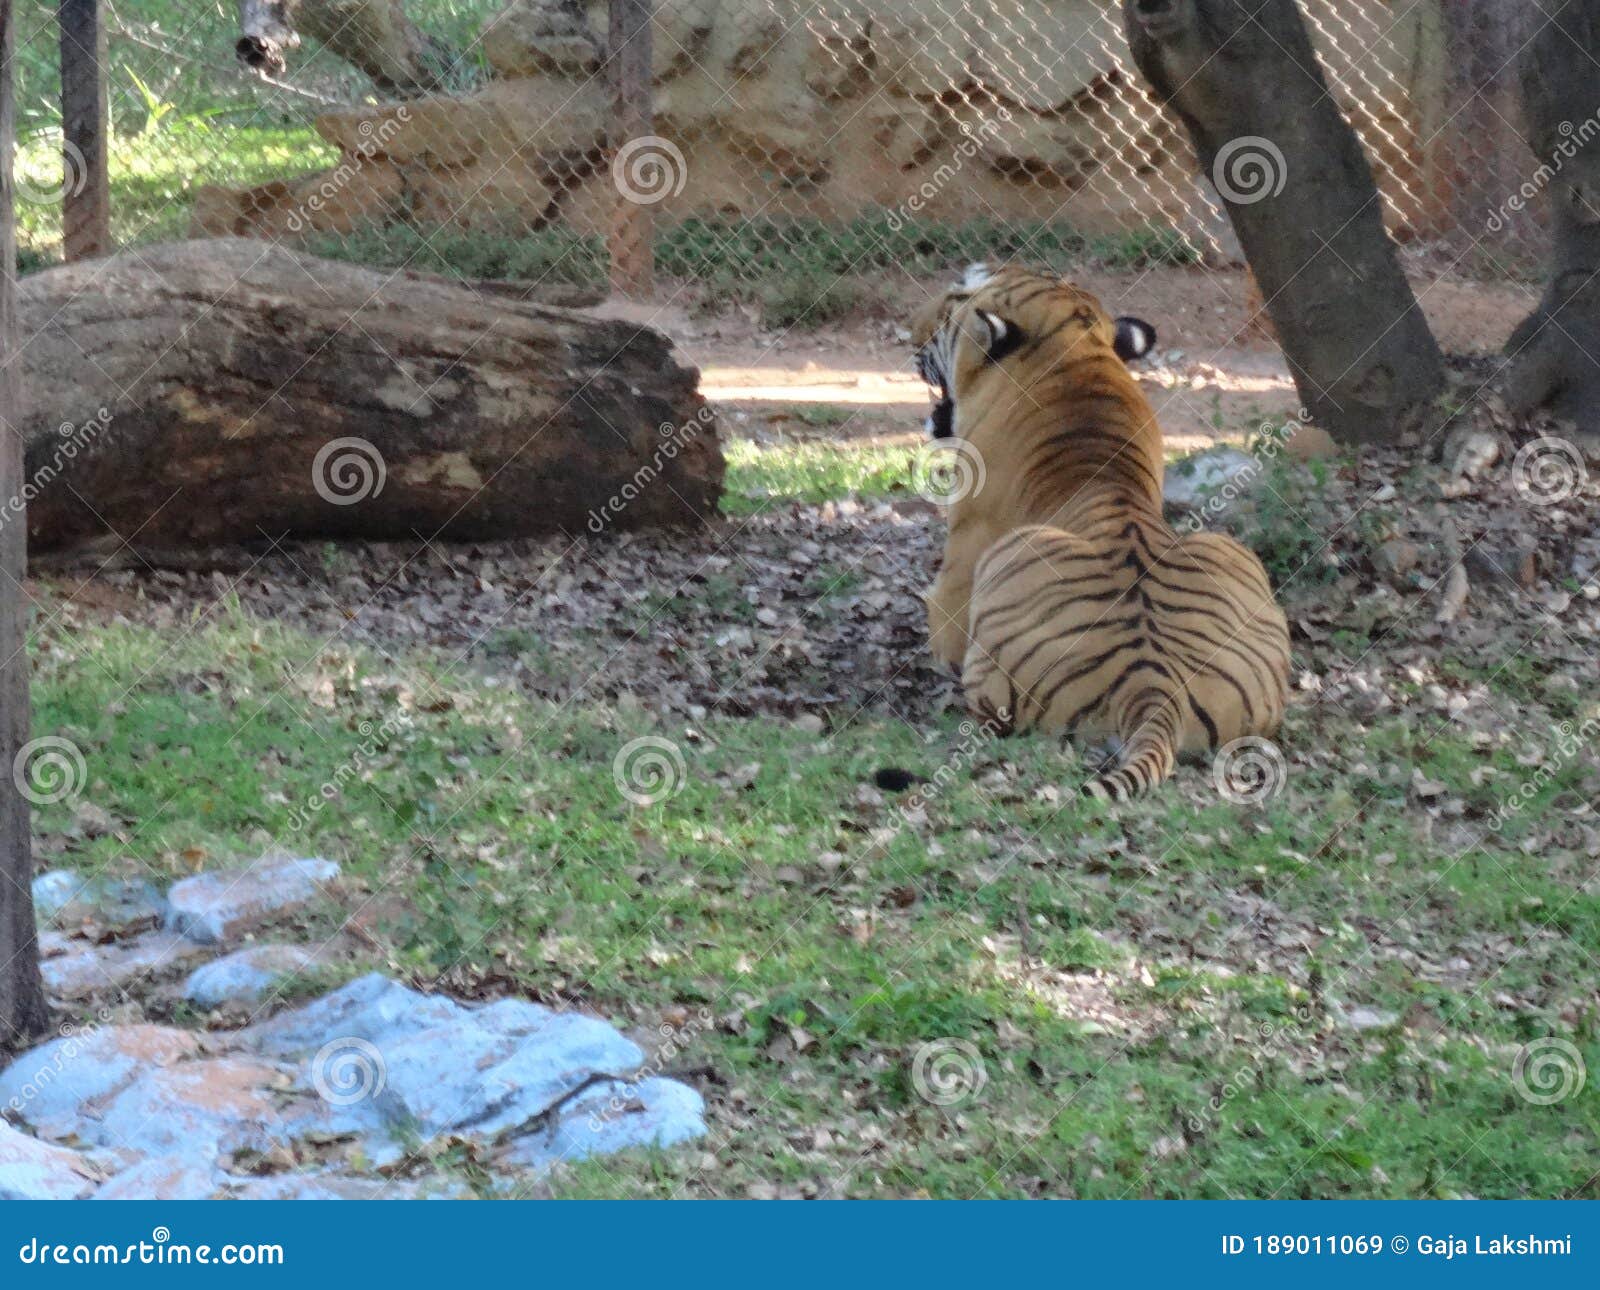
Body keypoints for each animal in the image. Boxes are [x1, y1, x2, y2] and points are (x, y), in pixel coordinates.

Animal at [911, 264, 1290, 800]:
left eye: (954, 305)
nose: (911, 329)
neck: (1074, 355)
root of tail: (1154, 689)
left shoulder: (957, 581)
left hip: (1012, 561)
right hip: (1227, 548)